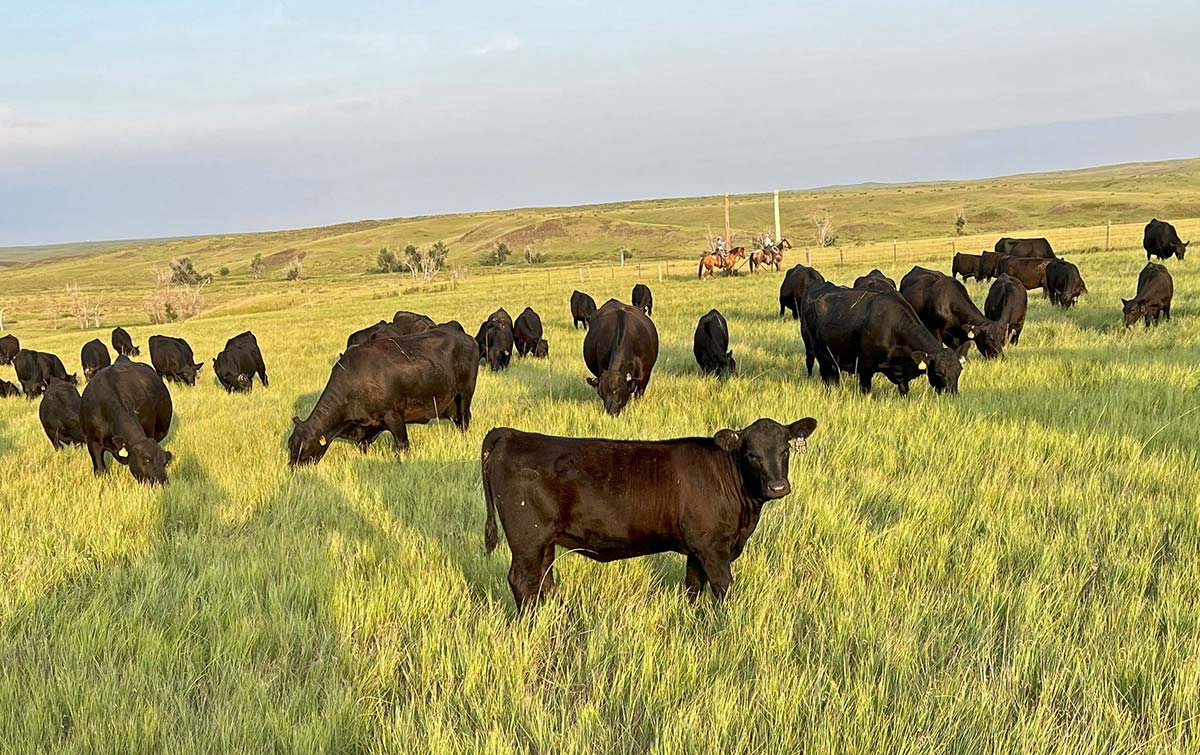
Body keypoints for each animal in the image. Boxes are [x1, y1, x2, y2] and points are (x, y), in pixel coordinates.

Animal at [288, 323, 479, 465]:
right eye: (291, 446)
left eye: (304, 448)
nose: (292, 468)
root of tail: (465, 336)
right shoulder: (368, 426)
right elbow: (363, 445)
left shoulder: (393, 415)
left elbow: (402, 444)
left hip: (464, 394)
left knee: (464, 419)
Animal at [480, 416, 818, 610]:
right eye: (751, 454)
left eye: (785, 450)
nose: (778, 487)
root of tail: (511, 434)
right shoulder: (713, 548)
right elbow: (723, 588)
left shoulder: (697, 548)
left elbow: (693, 587)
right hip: (528, 539)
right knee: (522, 580)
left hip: (545, 541)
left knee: (543, 579)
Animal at [802, 282, 970, 395]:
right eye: (939, 372)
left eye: (959, 371)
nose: (952, 395)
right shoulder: (865, 367)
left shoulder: (902, 375)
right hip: (820, 355)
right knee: (826, 378)